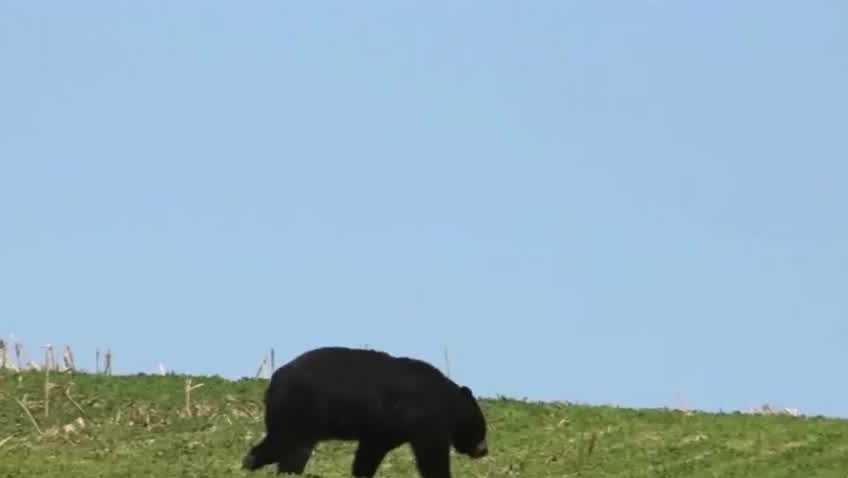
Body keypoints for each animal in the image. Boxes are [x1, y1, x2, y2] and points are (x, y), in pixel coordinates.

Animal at [241, 346, 489, 478]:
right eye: (481, 428)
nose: (484, 450)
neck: (447, 400)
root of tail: (274, 380)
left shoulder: (386, 429)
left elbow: (370, 452)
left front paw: (361, 472)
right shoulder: (422, 418)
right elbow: (432, 454)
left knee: (289, 449)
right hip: (300, 411)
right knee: (286, 445)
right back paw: (254, 463)